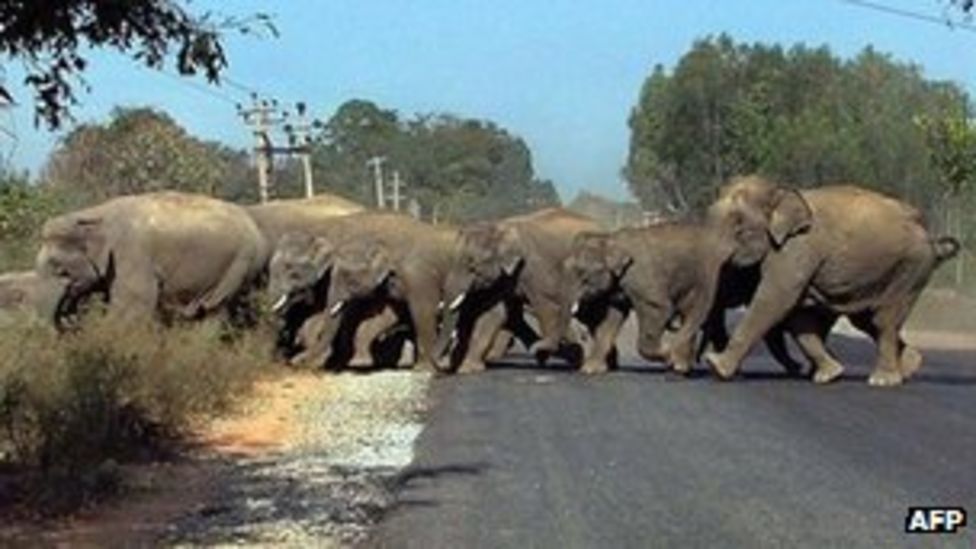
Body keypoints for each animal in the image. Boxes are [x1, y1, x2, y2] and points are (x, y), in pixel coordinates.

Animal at [36, 192, 269, 327]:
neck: (93, 213)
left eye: (61, 271)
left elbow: (131, 310)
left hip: (240, 263)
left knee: (214, 307)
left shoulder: (131, 256)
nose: (69, 316)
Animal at [439, 208, 600, 370]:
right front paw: (468, 368)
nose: (442, 364)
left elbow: (547, 304)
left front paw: (542, 348)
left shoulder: (534, 266)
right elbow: (496, 311)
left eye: (472, 267)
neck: (499, 228)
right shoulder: (505, 276)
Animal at [703, 175, 959, 386]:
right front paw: (829, 374)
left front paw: (716, 366)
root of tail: (929, 236)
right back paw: (909, 368)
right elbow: (797, 315)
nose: (704, 359)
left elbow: (775, 300)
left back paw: (883, 380)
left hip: (909, 269)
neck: (780, 191)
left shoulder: (796, 250)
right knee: (866, 321)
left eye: (738, 224)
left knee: (883, 320)